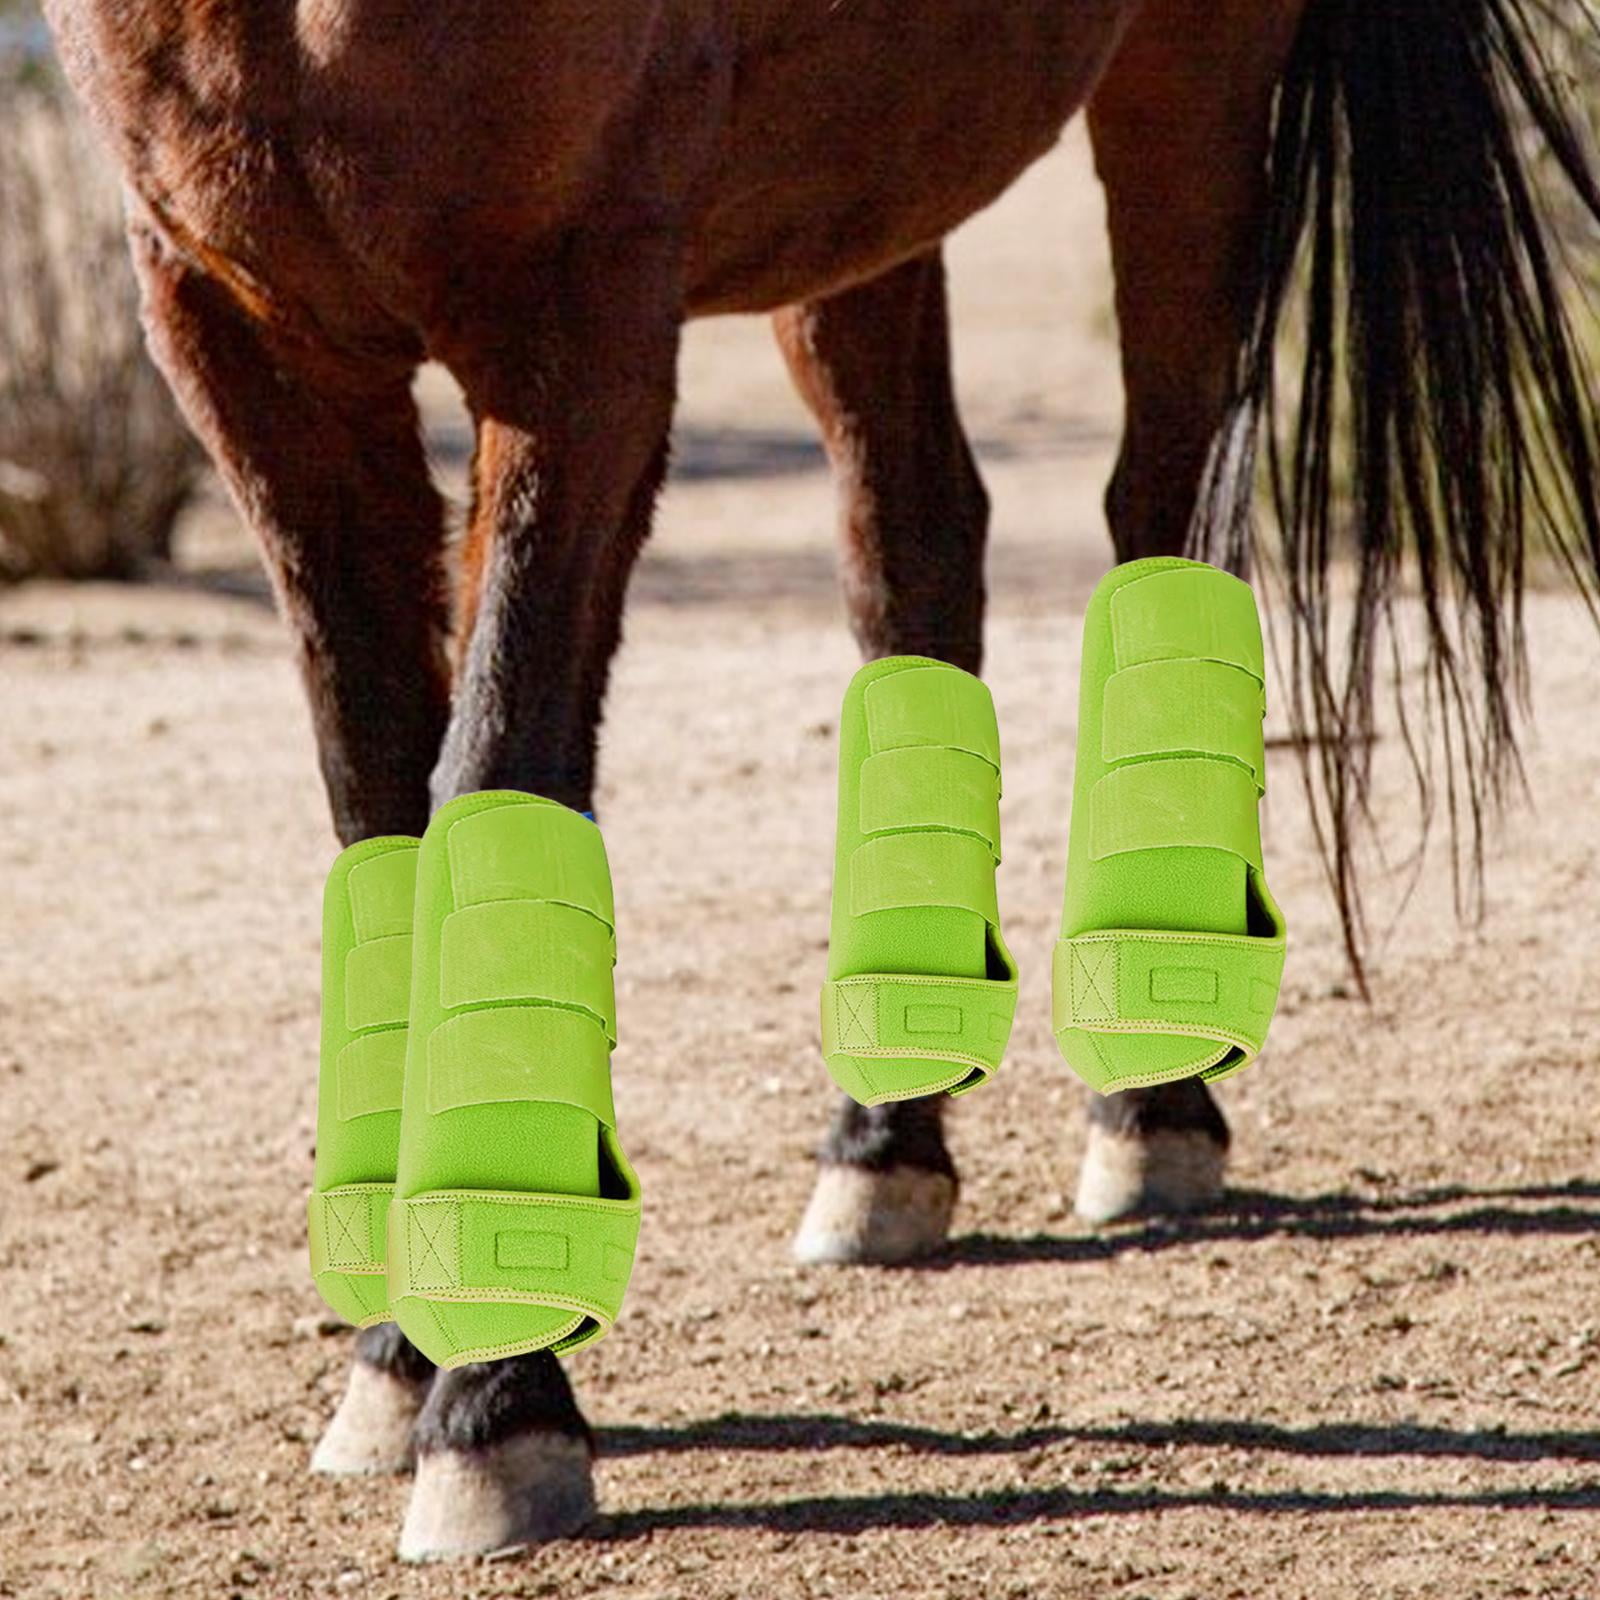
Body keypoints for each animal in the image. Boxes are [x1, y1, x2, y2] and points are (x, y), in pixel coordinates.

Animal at [41, 0, 1600, 1560]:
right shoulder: (241, 337)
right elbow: (376, 803)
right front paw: (398, 1359)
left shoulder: (578, 331)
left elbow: (494, 775)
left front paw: (496, 1399)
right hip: (868, 200)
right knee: (917, 545)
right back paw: (882, 1144)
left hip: (1192, 87)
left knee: (1164, 511)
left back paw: (1149, 1105)